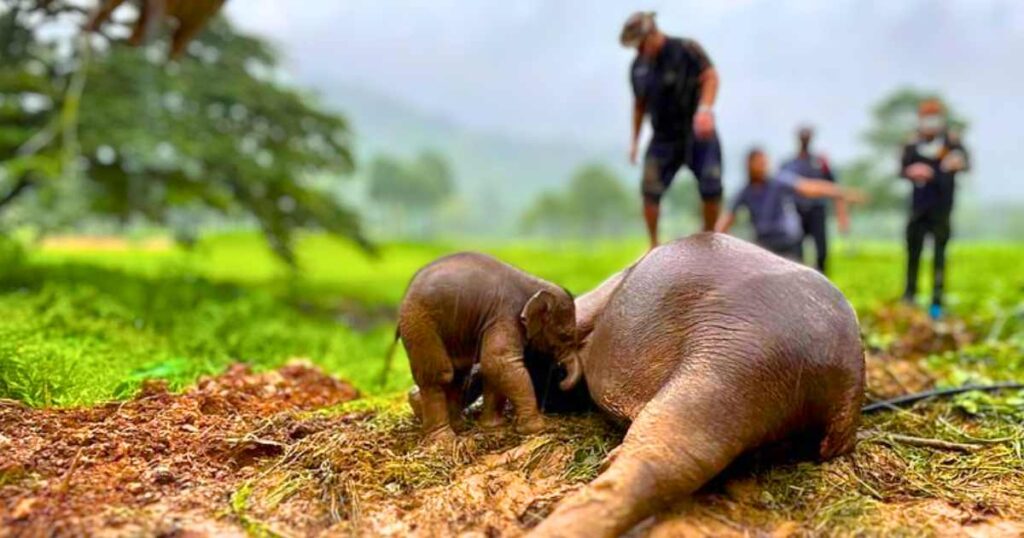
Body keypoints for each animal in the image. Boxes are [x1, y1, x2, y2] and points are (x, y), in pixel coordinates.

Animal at [397, 252, 582, 444]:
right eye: (564, 335)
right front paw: (536, 429)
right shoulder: (506, 315)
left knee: (458, 375)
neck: (535, 284)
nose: (561, 381)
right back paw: (444, 439)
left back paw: (459, 427)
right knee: (439, 375)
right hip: (419, 324)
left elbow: (492, 367)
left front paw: (493, 427)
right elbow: (499, 361)